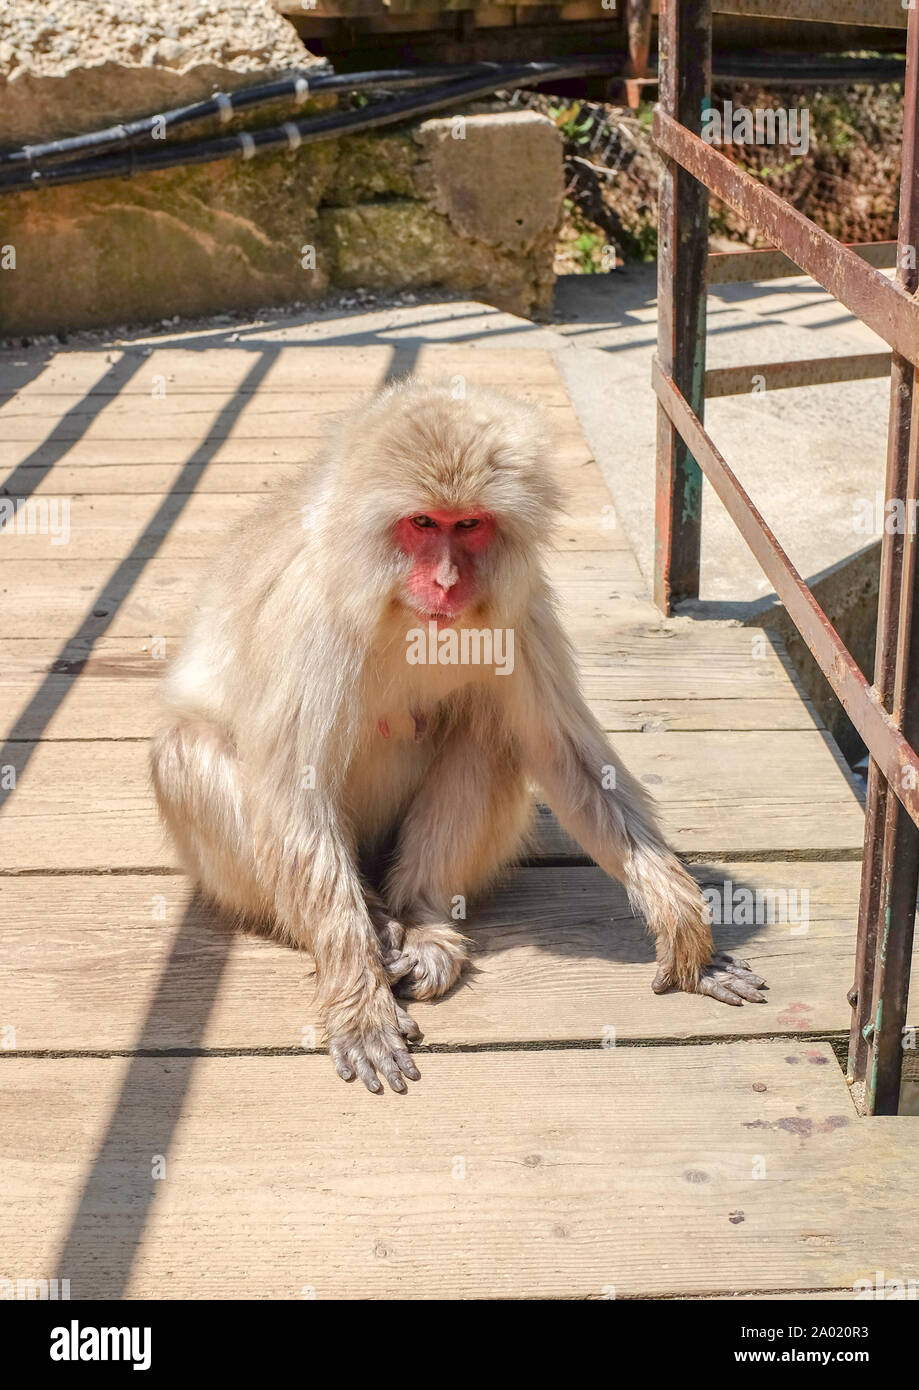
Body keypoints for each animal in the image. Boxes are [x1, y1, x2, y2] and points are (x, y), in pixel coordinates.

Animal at [151, 378, 767, 1094]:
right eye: (423, 524)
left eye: (468, 524)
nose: (447, 581)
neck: (398, 603)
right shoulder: (306, 611)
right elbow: (293, 793)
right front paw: (359, 1006)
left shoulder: (519, 608)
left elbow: (567, 757)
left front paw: (684, 928)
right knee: (188, 753)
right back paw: (372, 928)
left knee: (492, 731)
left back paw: (420, 924)